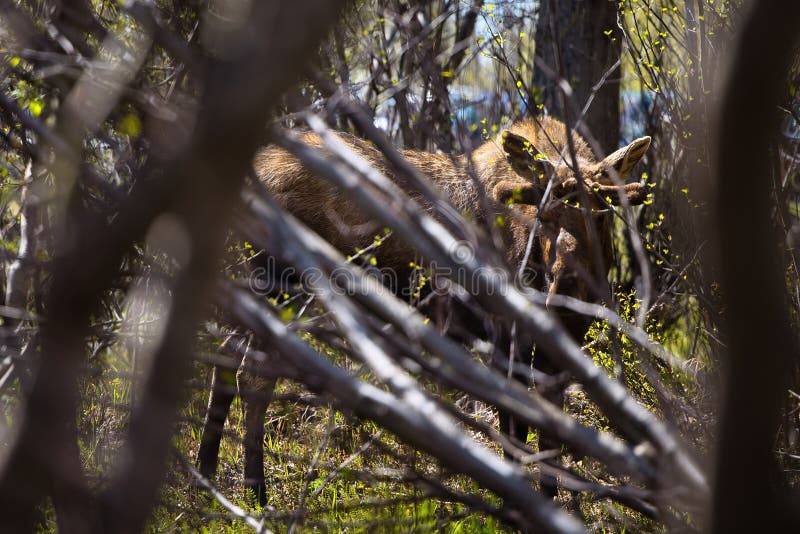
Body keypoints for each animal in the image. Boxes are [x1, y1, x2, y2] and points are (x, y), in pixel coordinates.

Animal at [196, 115, 651, 504]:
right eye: (544, 214)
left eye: (602, 213)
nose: (568, 287)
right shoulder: (507, 333)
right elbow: (516, 430)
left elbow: (551, 437)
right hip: (281, 287)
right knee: (253, 378)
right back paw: (254, 493)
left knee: (227, 360)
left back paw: (205, 478)